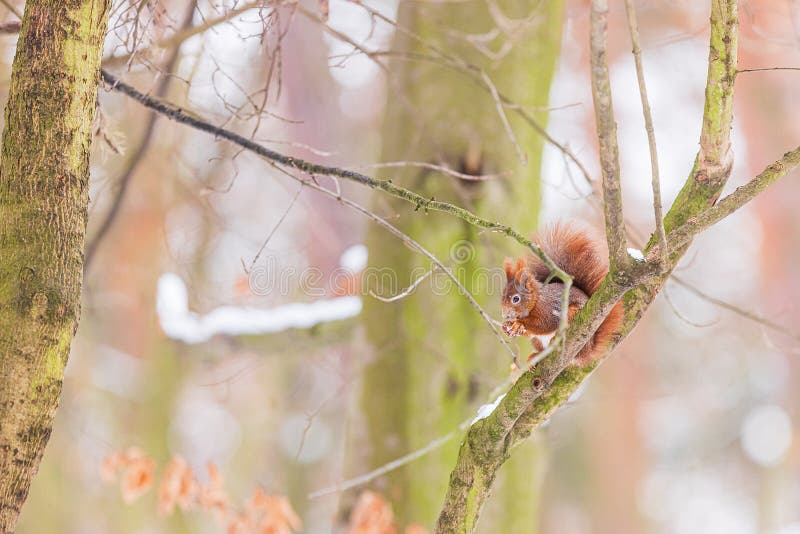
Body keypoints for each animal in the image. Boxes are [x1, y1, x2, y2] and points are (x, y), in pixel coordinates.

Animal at [500, 223, 623, 365]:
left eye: (516, 299)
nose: (504, 315)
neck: (536, 300)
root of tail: (588, 349)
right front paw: (506, 327)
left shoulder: (549, 308)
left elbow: (545, 323)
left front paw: (519, 323)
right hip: (537, 341)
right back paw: (535, 356)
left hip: (571, 317)